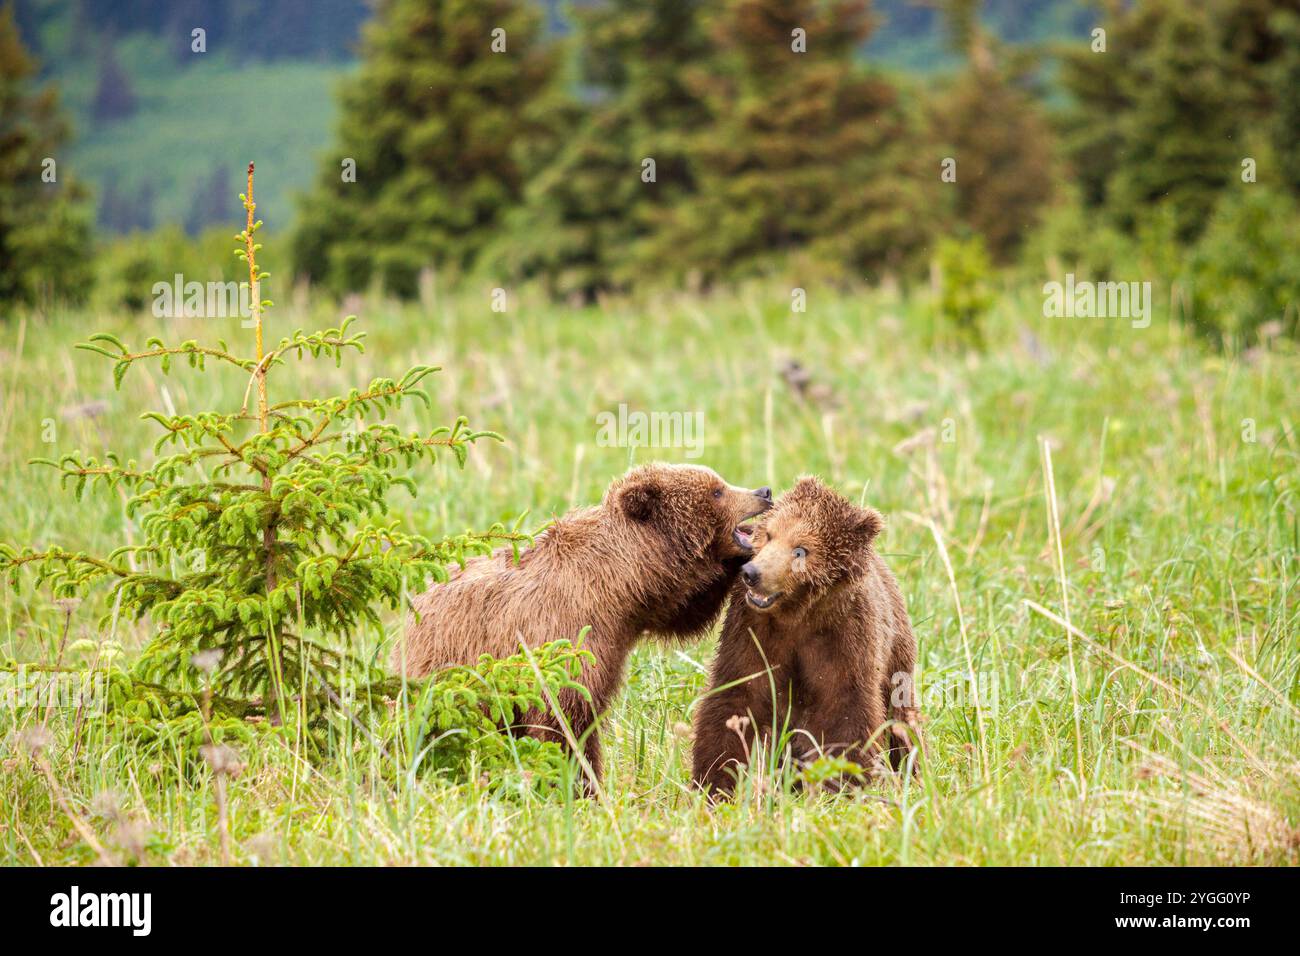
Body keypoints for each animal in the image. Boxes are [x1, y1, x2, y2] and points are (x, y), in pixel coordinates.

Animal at [391, 462, 773, 781]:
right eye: (717, 490)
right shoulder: (564, 631)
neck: (616, 583)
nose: (764, 491)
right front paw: (580, 781)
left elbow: (683, 614)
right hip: (450, 674)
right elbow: (566, 717)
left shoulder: (634, 613)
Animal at [691, 476, 920, 797]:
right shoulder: (753, 633)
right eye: (769, 534)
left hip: (896, 661)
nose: (752, 573)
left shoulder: (844, 637)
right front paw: (717, 782)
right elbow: (736, 698)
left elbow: (847, 712)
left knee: (902, 723)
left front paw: (843, 783)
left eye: (800, 550)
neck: (797, 616)